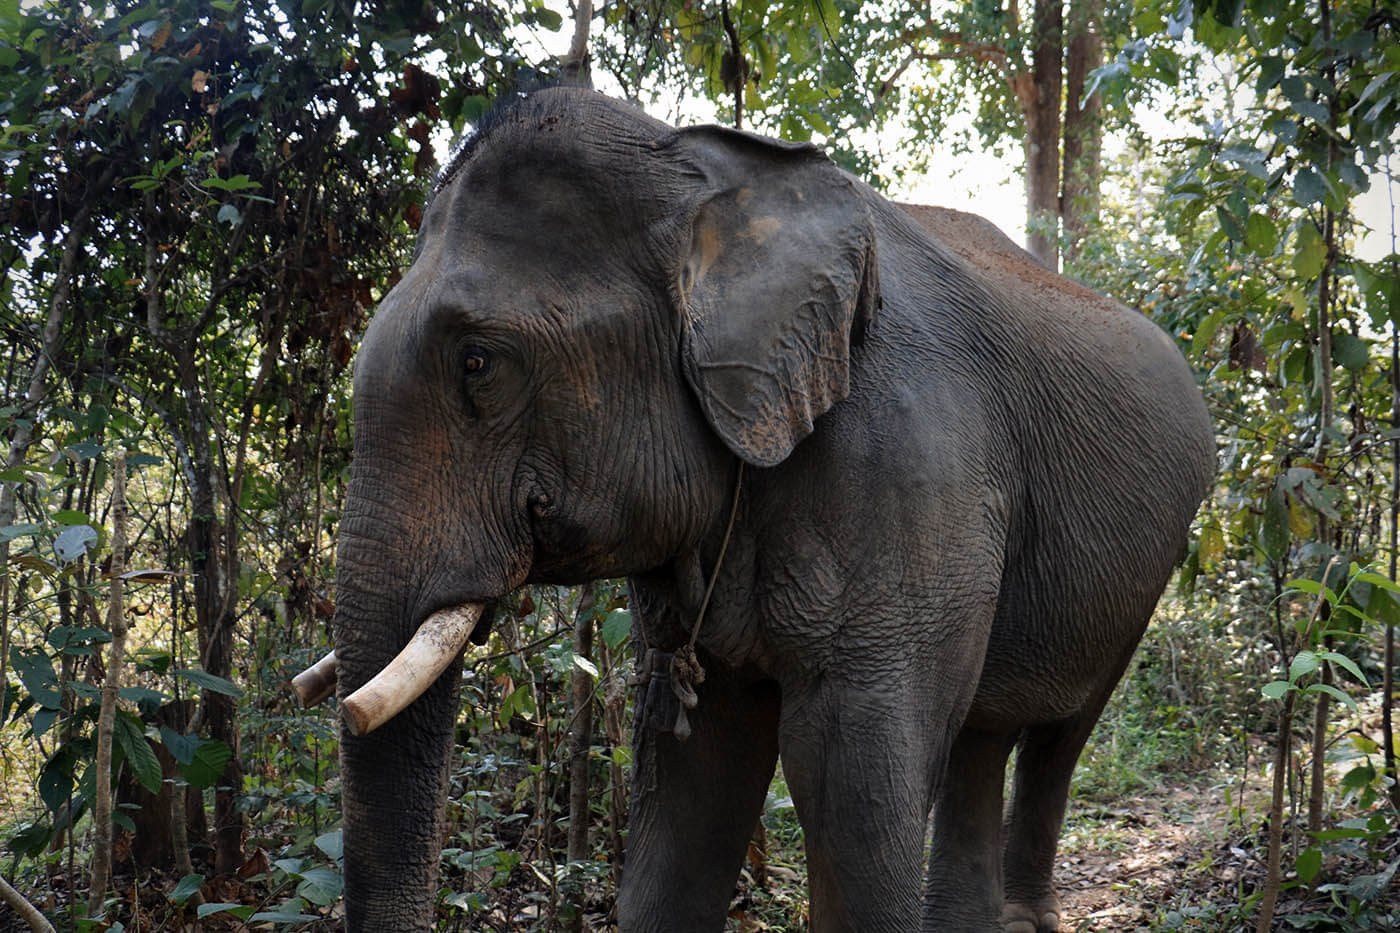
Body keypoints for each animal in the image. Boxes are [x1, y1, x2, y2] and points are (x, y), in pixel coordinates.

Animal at [304, 86, 1215, 932]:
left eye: (478, 362)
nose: (336, 700)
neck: (701, 175)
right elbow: (698, 762)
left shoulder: (915, 461)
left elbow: (851, 772)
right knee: (983, 733)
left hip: (1153, 561)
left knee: (1062, 729)